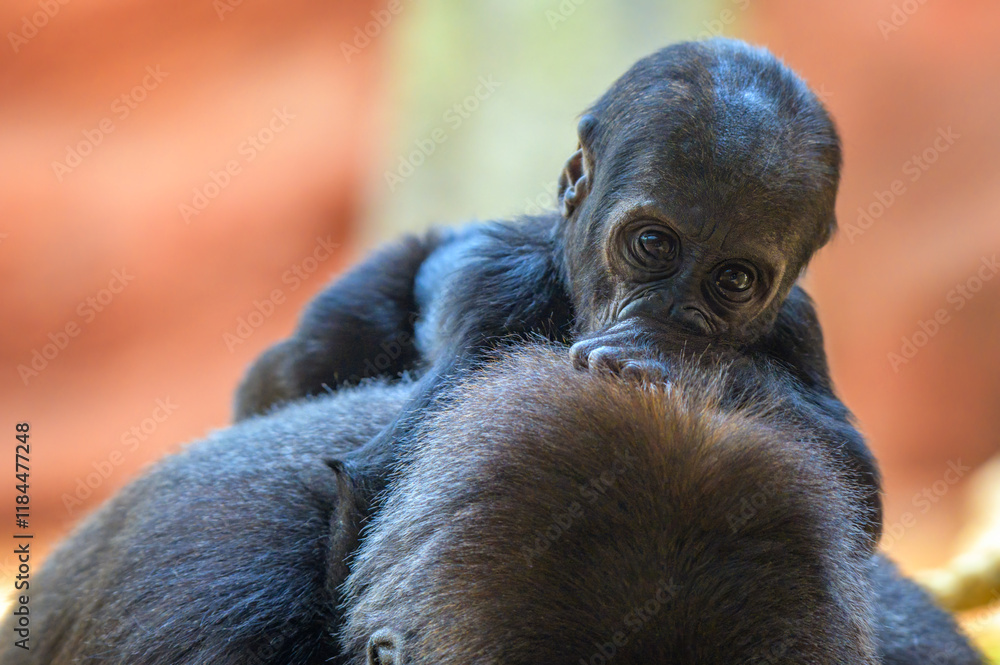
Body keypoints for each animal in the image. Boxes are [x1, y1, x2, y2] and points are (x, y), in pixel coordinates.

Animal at [232, 38, 882, 547]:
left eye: (735, 280)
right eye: (653, 243)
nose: (669, 314)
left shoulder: (799, 325)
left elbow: (861, 493)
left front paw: (681, 357)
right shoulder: (497, 289)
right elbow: (381, 483)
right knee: (303, 362)